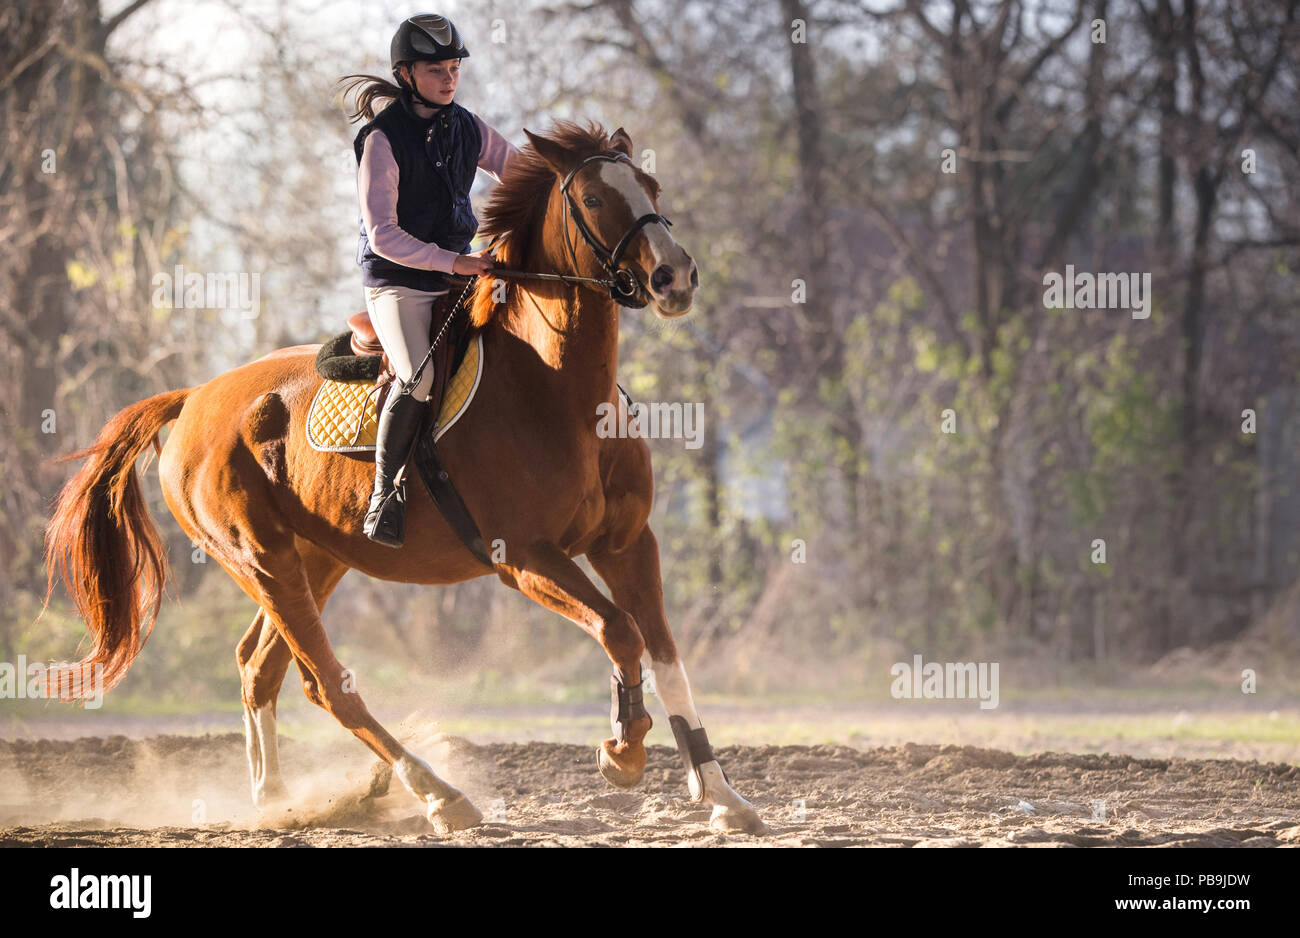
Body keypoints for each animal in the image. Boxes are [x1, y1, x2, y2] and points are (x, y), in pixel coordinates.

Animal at [41, 119, 769, 835]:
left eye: (651, 186)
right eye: (592, 198)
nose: (675, 277)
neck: (555, 390)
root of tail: (194, 396)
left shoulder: (626, 544)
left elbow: (665, 653)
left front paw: (722, 795)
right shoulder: (524, 557)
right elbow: (620, 630)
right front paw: (623, 749)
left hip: (315, 558)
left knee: (260, 668)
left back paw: (275, 799)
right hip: (261, 559)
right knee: (325, 684)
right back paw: (438, 795)